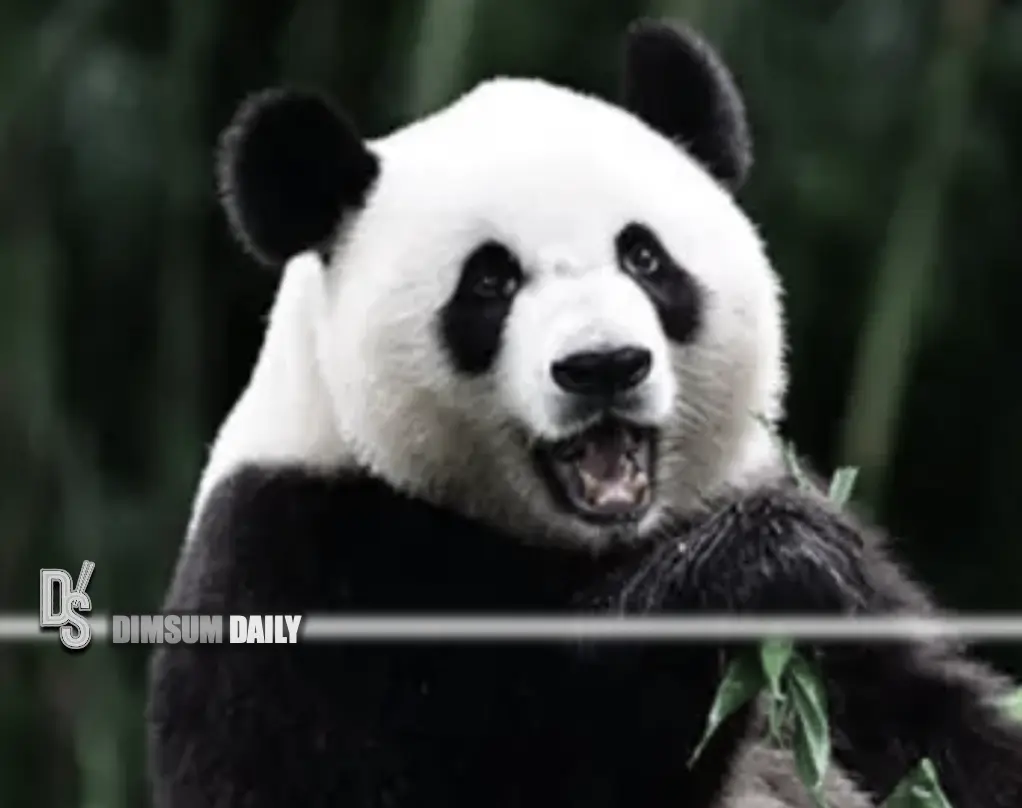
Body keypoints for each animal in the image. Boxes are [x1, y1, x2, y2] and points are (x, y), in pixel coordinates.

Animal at [147, 18, 1022, 808]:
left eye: (644, 255)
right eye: (489, 281)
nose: (603, 365)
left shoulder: (848, 608)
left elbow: (941, 730)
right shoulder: (293, 562)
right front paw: (760, 563)